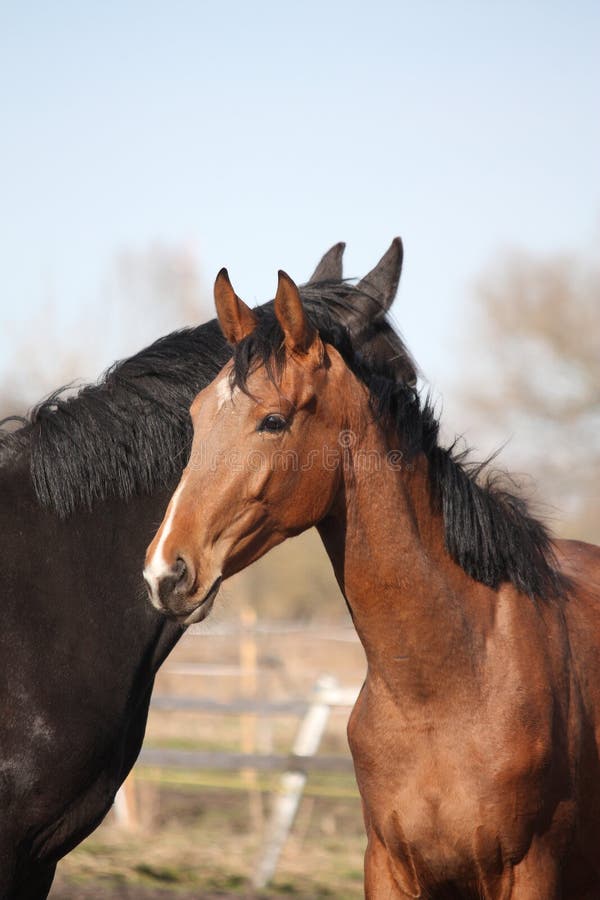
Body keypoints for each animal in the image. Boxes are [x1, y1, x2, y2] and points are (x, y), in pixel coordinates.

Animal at [145, 266, 600, 898]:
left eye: (274, 420)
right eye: (195, 416)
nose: (165, 571)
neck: (447, 688)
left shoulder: (532, 874)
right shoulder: (387, 868)